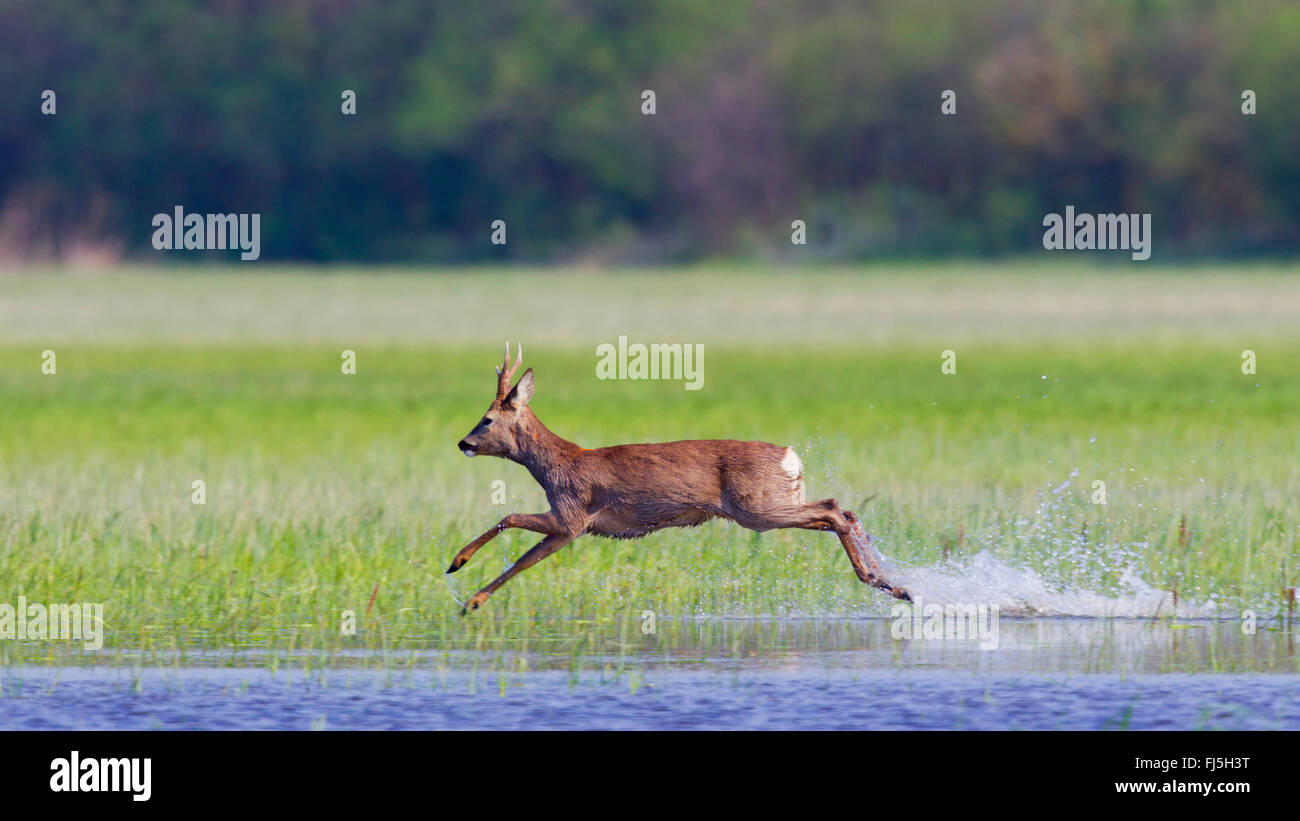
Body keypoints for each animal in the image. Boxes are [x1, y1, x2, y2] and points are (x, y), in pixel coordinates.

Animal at [447, 343, 911, 612]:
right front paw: (472, 601)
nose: (463, 442)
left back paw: (881, 581)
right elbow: (524, 561)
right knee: (844, 512)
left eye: (487, 419)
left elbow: (507, 518)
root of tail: (790, 457)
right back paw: (893, 583)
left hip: (758, 508)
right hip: (777, 503)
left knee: (833, 509)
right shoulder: (571, 529)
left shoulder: (572, 513)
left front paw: (457, 564)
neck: (557, 465)